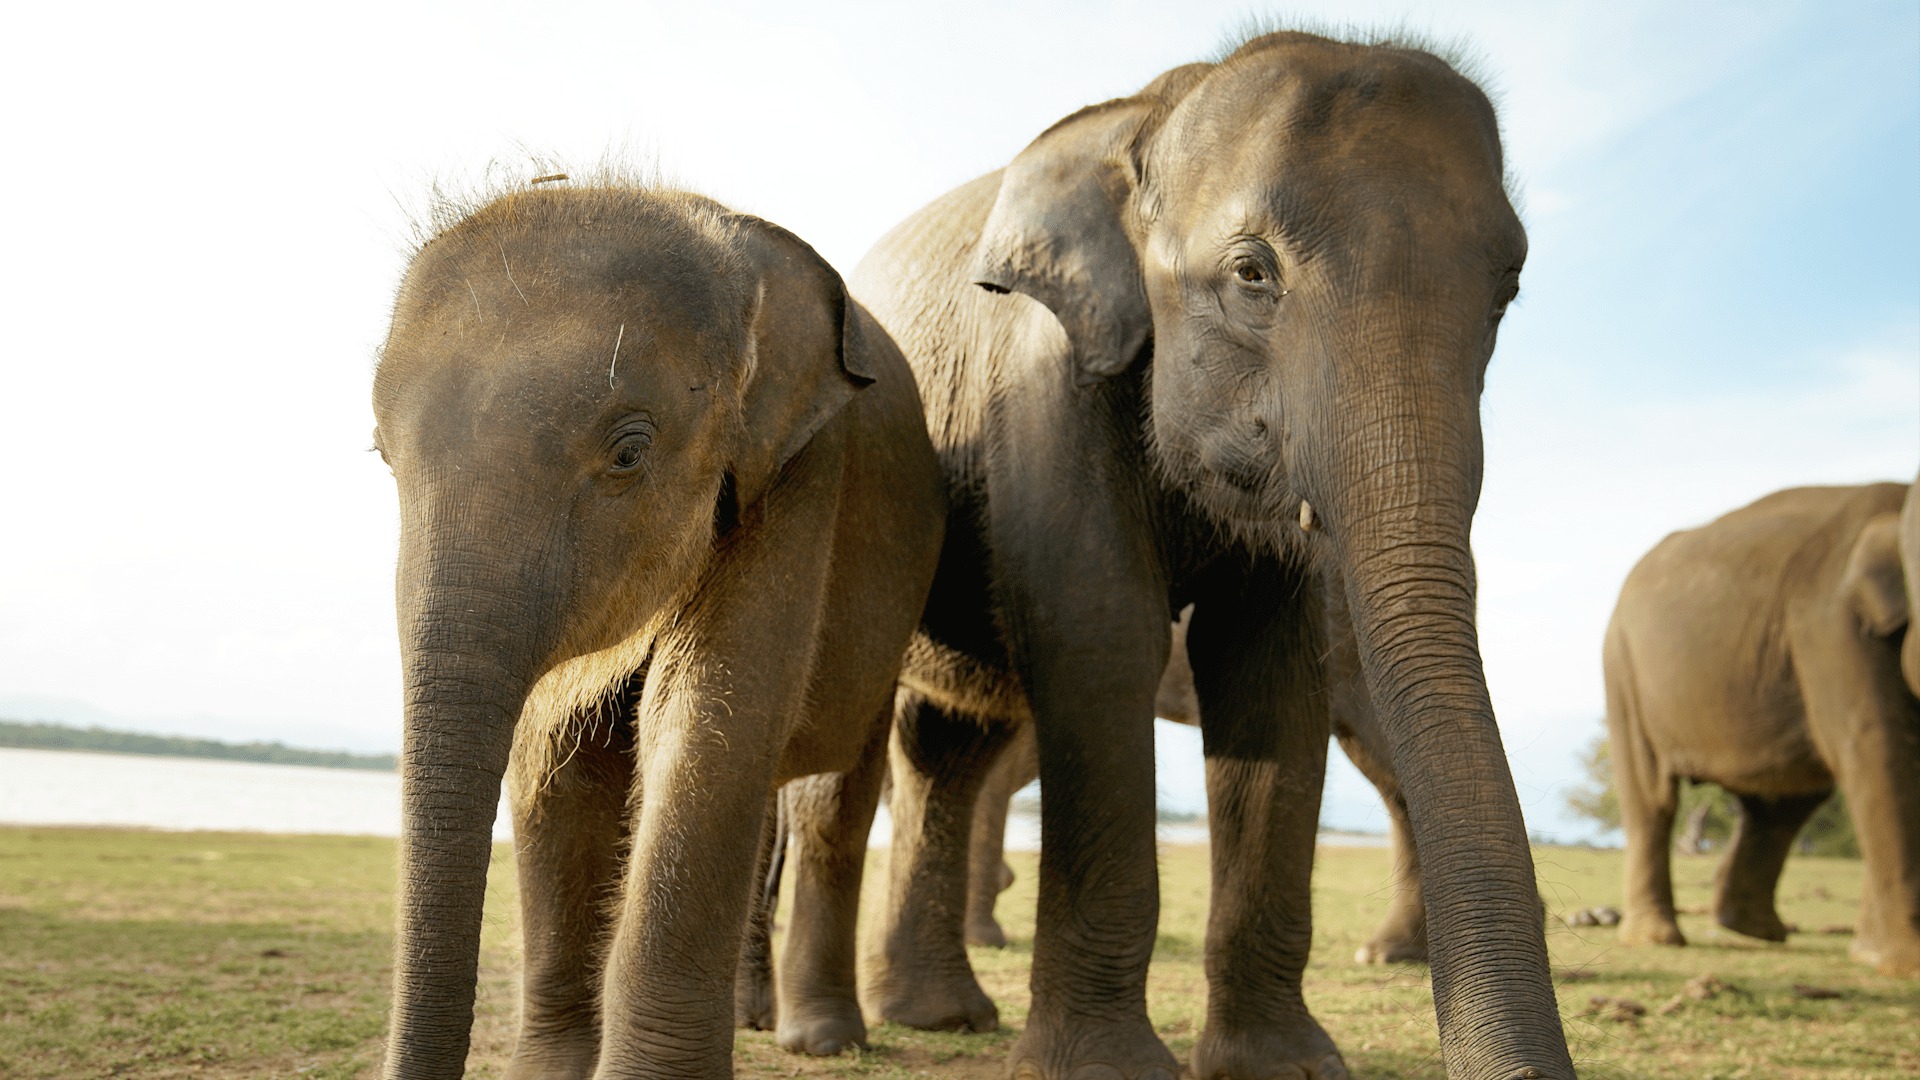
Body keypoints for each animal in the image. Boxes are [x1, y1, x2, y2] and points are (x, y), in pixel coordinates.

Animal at [370, 182, 945, 1078]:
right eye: (382, 455)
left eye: (629, 453)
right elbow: (559, 748)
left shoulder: (803, 468)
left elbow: (709, 711)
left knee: (833, 790)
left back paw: (824, 1040)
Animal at [829, 29, 1570, 1080]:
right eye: (1253, 273)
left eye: (1507, 293)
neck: (1154, 111)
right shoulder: (1043, 379)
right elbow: (1102, 637)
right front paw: (1108, 1070)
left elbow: (1267, 674)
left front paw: (1285, 1065)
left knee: (947, 745)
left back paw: (941, 1017)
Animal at [1605, 480, 1920, 977]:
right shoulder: (1830, 627)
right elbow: (1877, 749)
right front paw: (1904, 964)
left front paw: (1871, 956)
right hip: (1623, 669)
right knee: (1652, 797)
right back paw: (1658, 939)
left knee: (1783, 803)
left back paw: (1755, 929)